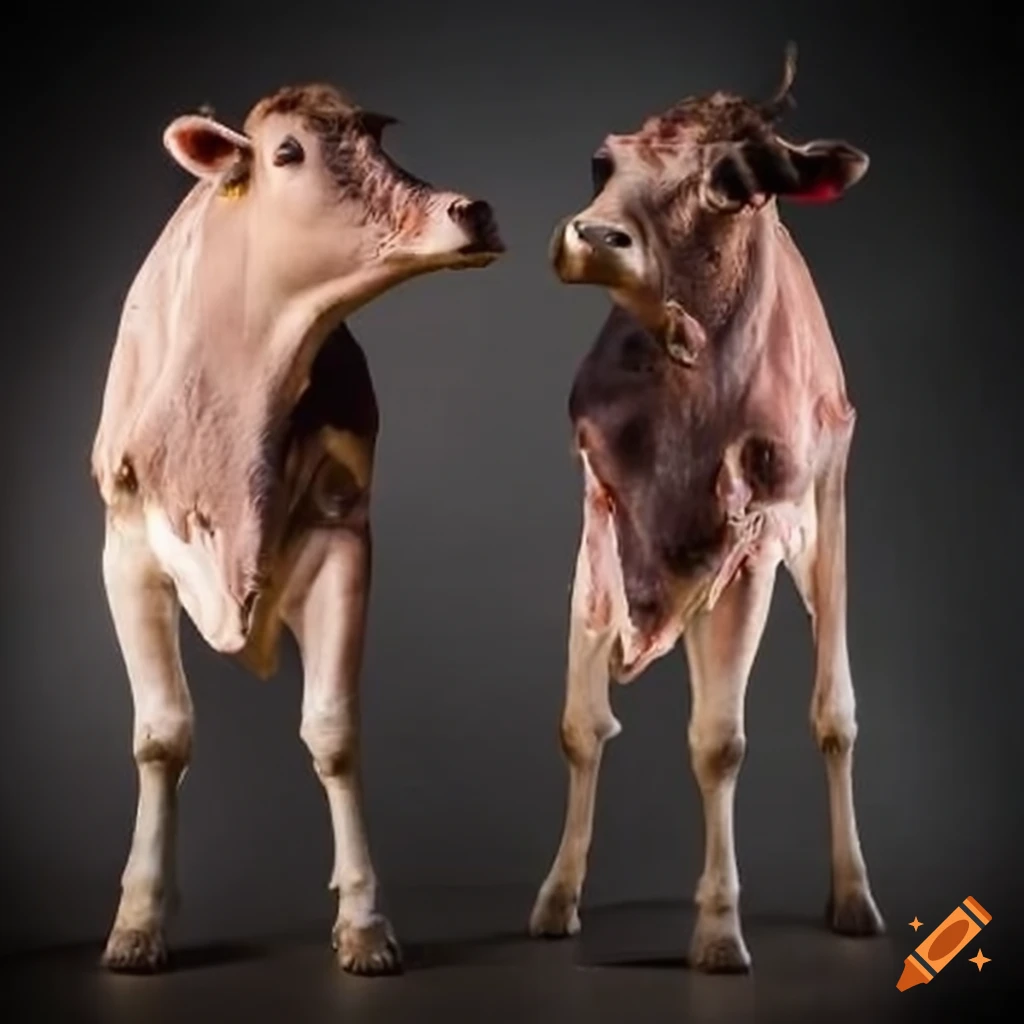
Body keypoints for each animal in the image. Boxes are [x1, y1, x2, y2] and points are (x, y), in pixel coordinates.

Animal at [91, 83, 504, 976]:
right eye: (287, 152)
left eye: (379, 140)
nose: (473, 210)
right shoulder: (127, 545)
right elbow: (161, 735)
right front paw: (137, 921)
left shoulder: (344, 532)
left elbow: (334, 732)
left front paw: (366, 923)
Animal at [528, 45, 884, 972]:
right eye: (603, 162)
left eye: (731, 178)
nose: (596, 238)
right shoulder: (603, 526)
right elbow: (581, 725)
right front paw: (556, 899)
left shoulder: (752, 538)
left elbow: (719, 742)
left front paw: (719, 931)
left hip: (825, 513)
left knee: (834, 713)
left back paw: (854, 897)